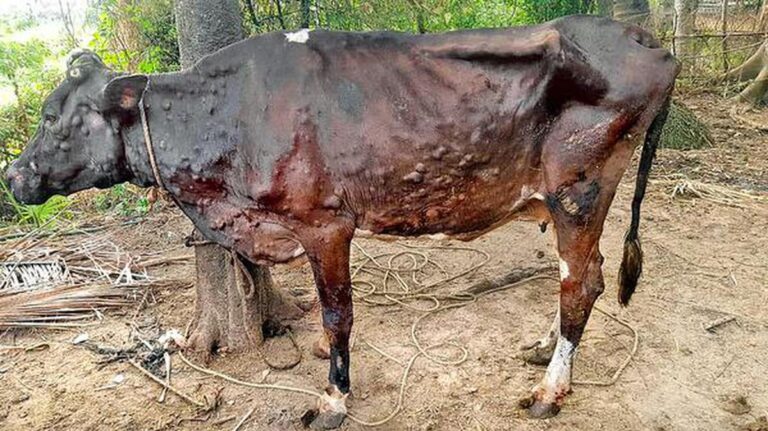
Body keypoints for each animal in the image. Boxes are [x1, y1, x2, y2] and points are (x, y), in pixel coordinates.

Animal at [6, 15, 677, 428]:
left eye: (52, 116)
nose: (11, 176)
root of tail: (648, 41)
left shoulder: (325, 224)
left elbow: (337, 316)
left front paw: (333, 399)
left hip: (579, 191)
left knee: (582, 283)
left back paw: (550, 392)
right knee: (578, 279)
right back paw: (544, 351)